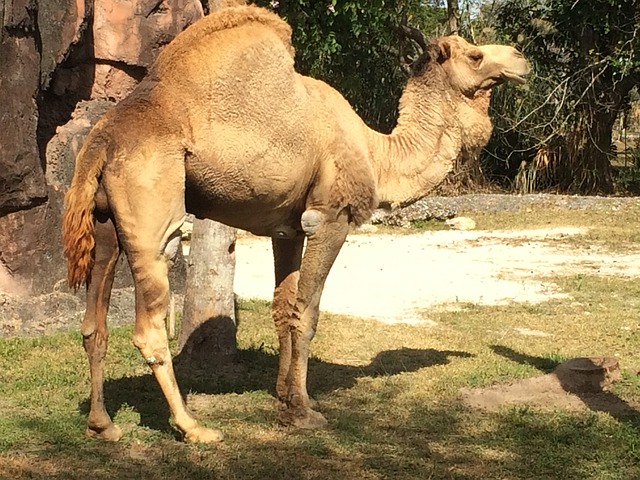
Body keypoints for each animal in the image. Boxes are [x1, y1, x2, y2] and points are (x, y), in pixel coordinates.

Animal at [62, 5, 529, 443]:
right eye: (475, 54)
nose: (521, 58)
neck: (376, 152)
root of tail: (100, 139)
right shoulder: (331, 216)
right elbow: (308, 312)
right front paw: (303, 412)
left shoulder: (286, 227)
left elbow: (282, 308)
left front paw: (284, 399)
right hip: (152, 212)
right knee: (149, 326)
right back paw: (193, 427)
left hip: (106, 222)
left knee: (93, 323)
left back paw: (102, 424)